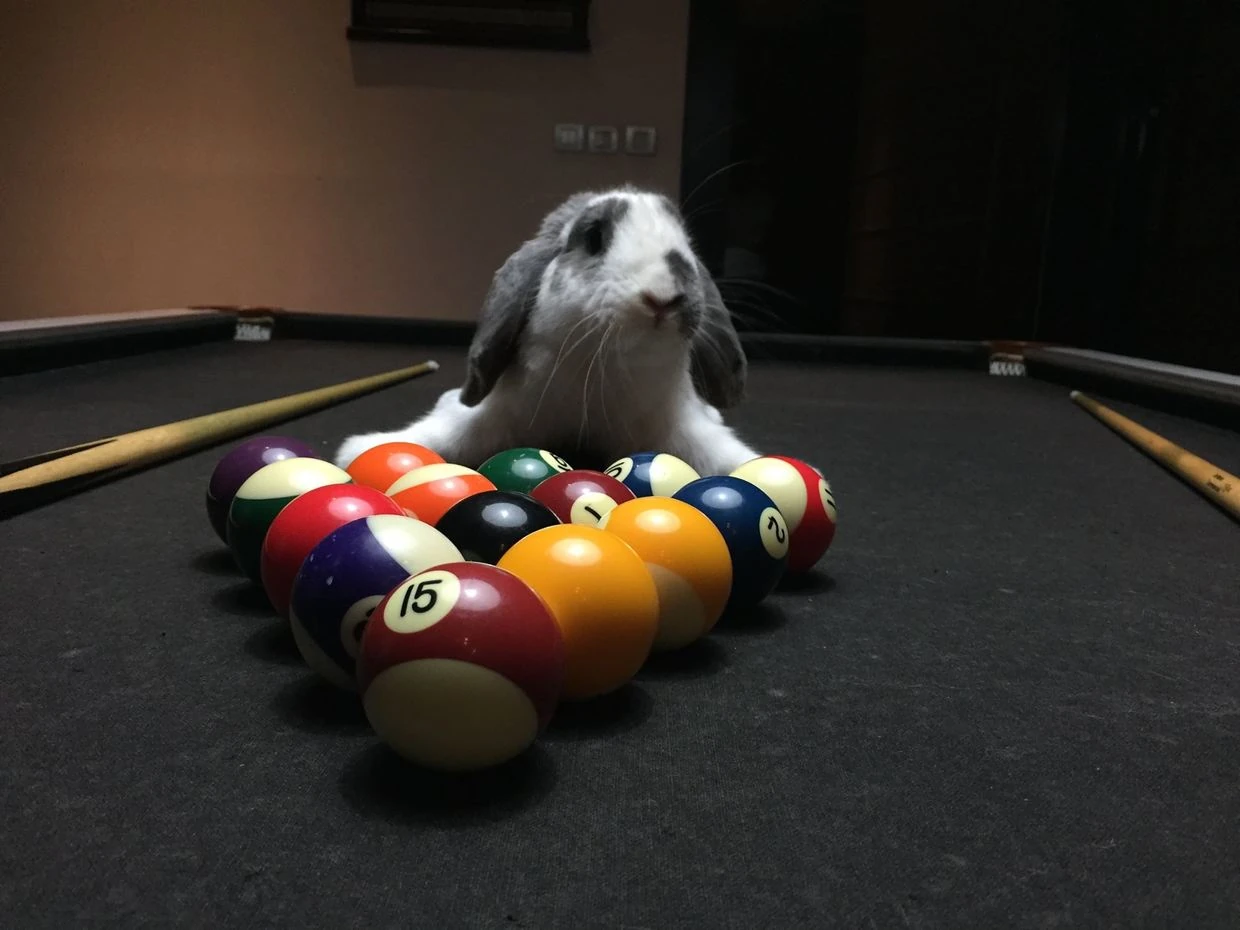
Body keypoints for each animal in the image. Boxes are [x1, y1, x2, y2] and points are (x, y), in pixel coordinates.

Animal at [333, 186, 761, 477]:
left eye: (687, 244)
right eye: (594, 237)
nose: (663, 298)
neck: (602, 377)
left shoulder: (679, 427)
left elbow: (725, 456)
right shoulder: (497, 413)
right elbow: (442, 434)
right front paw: (357, 449)